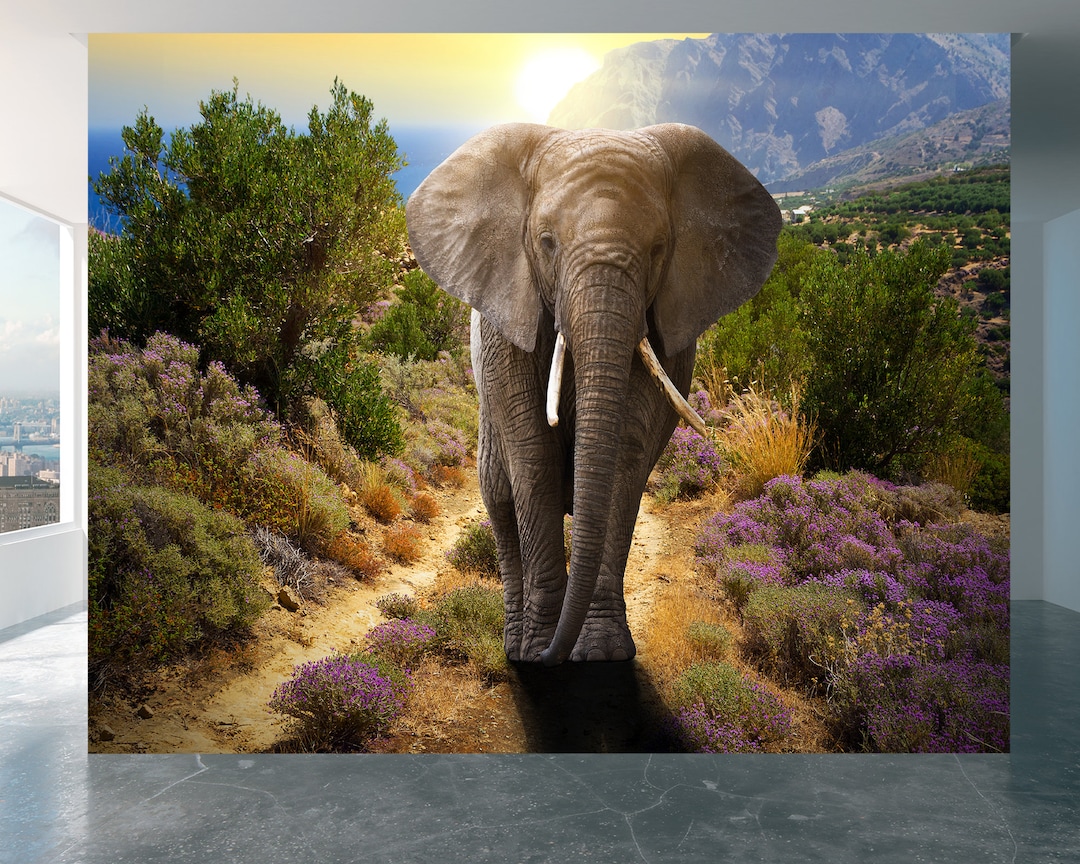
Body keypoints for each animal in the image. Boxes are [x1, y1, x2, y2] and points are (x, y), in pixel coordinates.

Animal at [405, 123, 782, 665]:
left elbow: (626, 453)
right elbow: (533, 455)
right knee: (499, 498)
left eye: (659, 249)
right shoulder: (507, 321)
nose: (550, 657)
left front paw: (601, 653)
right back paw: (516, 645)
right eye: (546, 243)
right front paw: (538, 651)